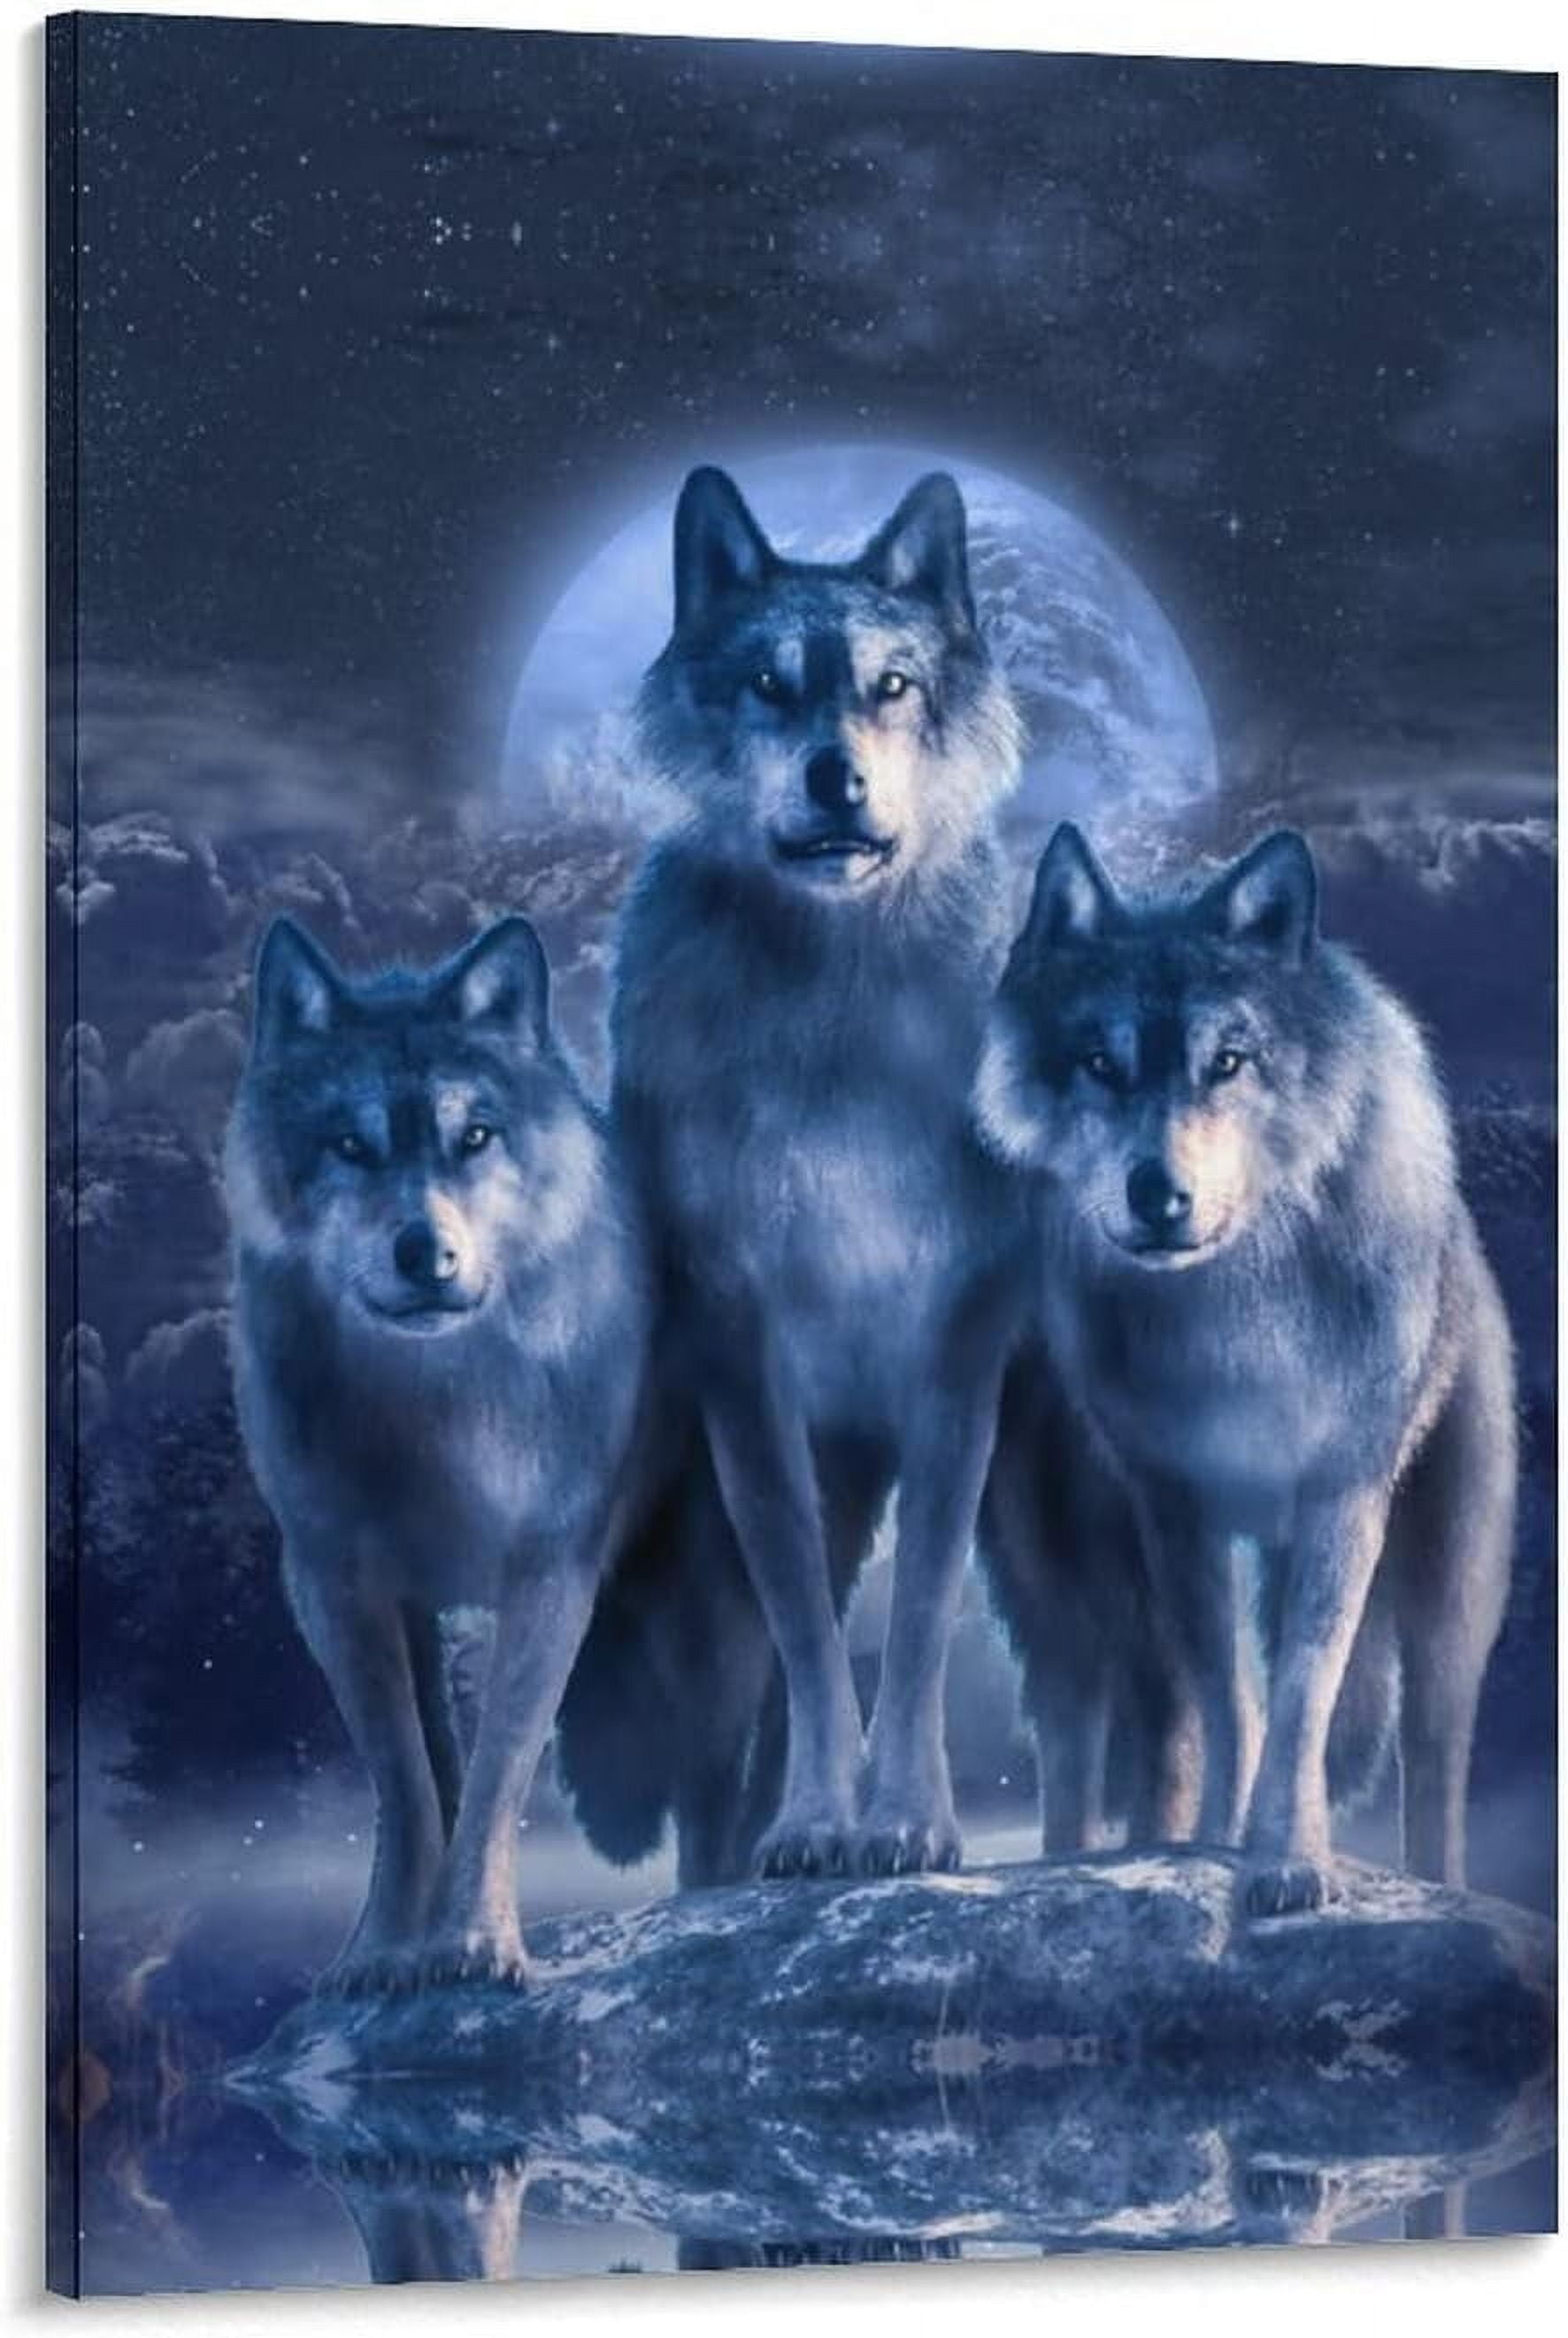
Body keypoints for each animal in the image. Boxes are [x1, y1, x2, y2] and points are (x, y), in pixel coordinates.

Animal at [226, 912, 649, 1988]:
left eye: (475, 1136)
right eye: (349, 1144)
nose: (427, 1253)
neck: (434, 1413)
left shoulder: (551, 1571)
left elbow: (500, 1771)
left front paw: (471, 1942)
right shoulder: (339, 1585)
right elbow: (411, 1783)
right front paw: (382, 1951)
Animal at [586, 463, 1030, 1879]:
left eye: (890, 684)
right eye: (769, 685)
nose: (837, 779)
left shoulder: (957, 1360)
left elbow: (923, 1617)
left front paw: (910, 1826)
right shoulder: (748, 1369)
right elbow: (810, 1644)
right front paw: (819, 1827)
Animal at [974, 822, 1514, 1913]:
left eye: (1227, 1061)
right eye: (1100, 1062)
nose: (1158, 1195)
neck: (1235, 1324)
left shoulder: (1340, 1501)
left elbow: (1302, 1692)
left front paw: (1287, 1860)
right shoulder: (1175, 1511)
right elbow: (1232, 1703)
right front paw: (1215, 1844)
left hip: (1452, 1588)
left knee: (1434, 1755)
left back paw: (1444, 1886)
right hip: (1066, 1592)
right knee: (1093, 1737)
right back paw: (1084, 1856)